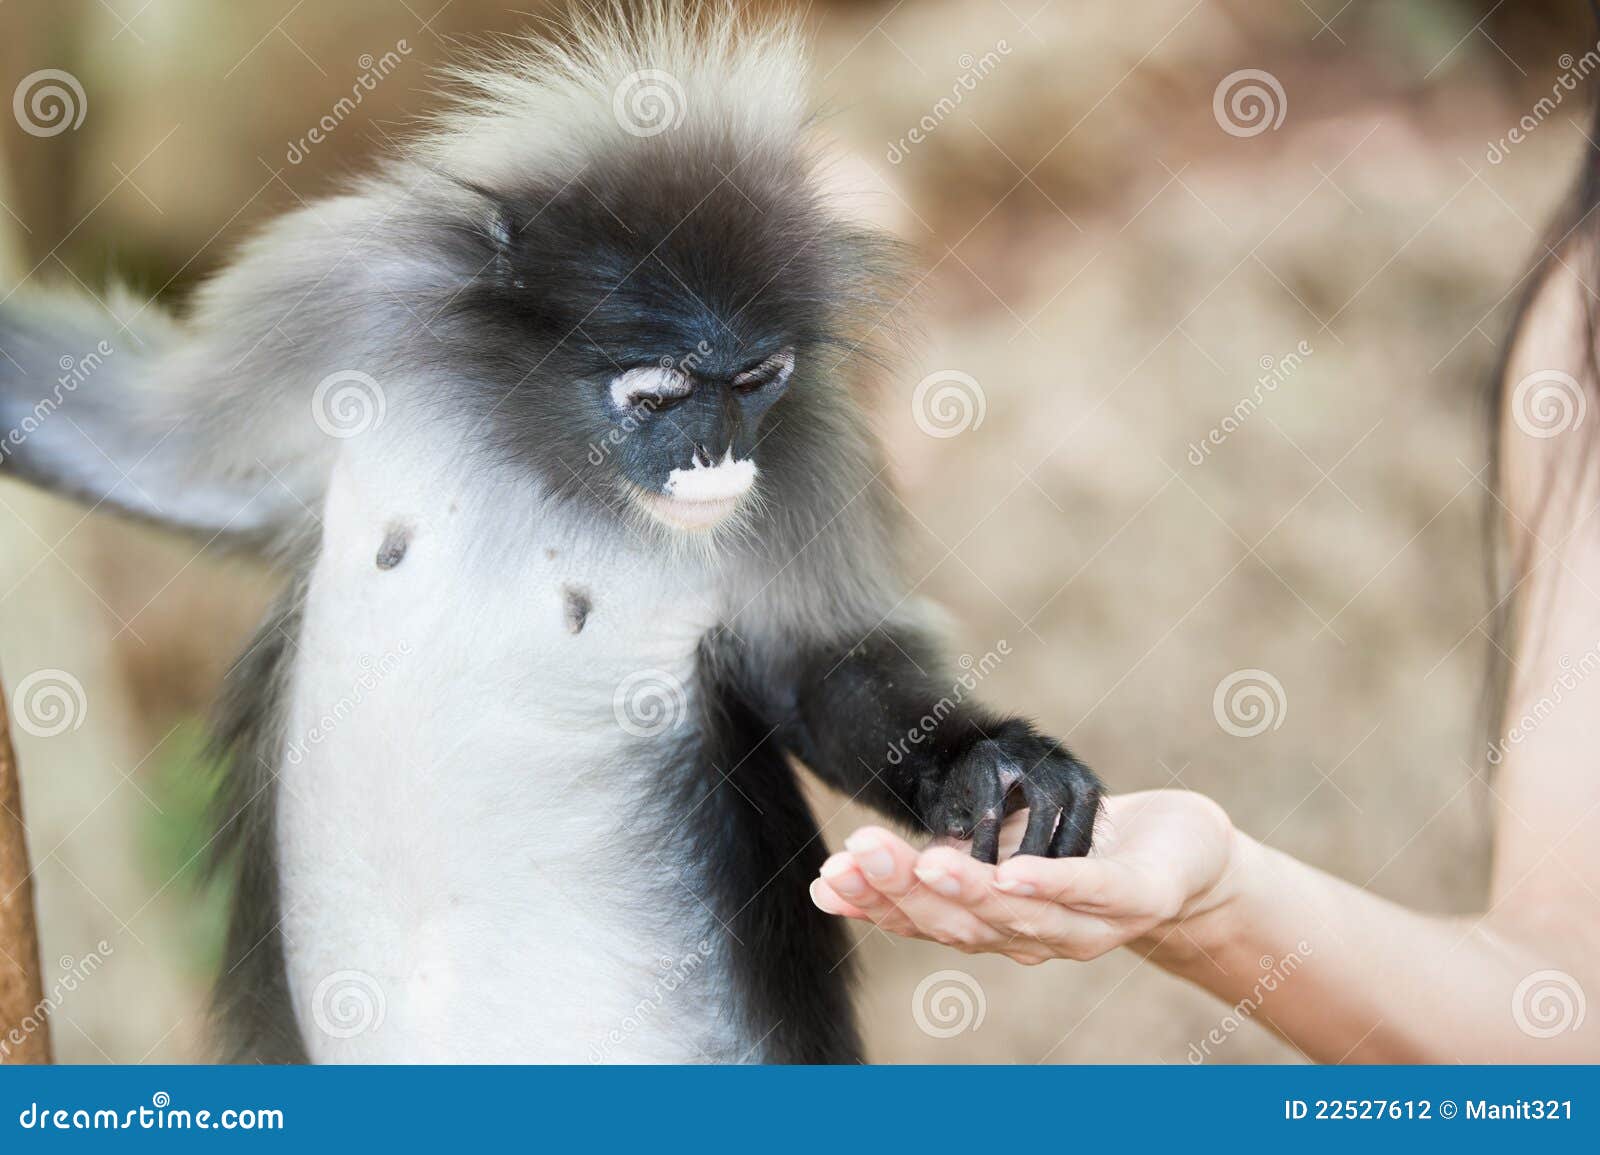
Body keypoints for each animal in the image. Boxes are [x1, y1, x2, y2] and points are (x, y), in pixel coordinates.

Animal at [0, 4, 1102, 1062]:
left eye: (756, 381)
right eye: (658, 393)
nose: (721, 460)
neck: (540, 442)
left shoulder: (808, 434)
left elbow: (816, 663)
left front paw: (987, 762)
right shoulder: (351, 303)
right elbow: (156, 453)